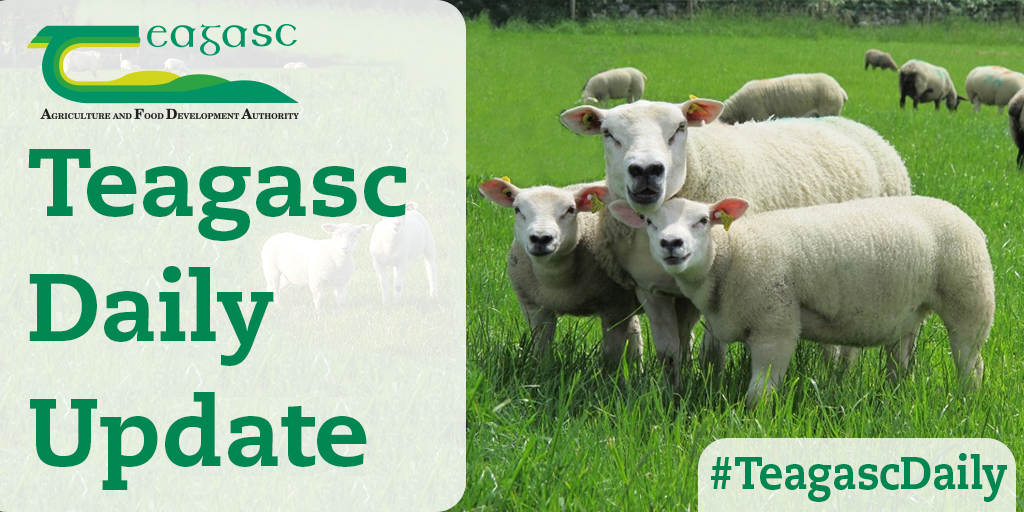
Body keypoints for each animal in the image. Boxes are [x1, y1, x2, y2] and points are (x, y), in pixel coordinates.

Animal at [479, 178, 643, 366]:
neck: (557, 283)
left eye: (570, 210)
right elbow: (541, 350)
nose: (540, 238)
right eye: (517, 209)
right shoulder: (535, 308)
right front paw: (541, 370)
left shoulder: (616, 306)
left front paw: (611, 373)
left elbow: (612, 354)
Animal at [560, 99, 911, 387]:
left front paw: (710, 391)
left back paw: (840, 375)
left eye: (680, 128)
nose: (646, 170)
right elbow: (670, 353)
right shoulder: (651, 289)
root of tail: (859, 127)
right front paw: (672, 394)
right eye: (608, 133)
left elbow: (712, 354)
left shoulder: (725, 284)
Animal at [608, 195, 994, 408]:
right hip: (909, 313)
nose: (671, 244)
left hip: (970, 298)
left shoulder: (775, 325)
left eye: (703, 220)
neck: (733, 254)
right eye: (649, 222)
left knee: (971, 363)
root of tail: (958, 211)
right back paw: (894, 396)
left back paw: (967, 402)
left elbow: (759, 394)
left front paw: (754, 426)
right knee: (901, 362)